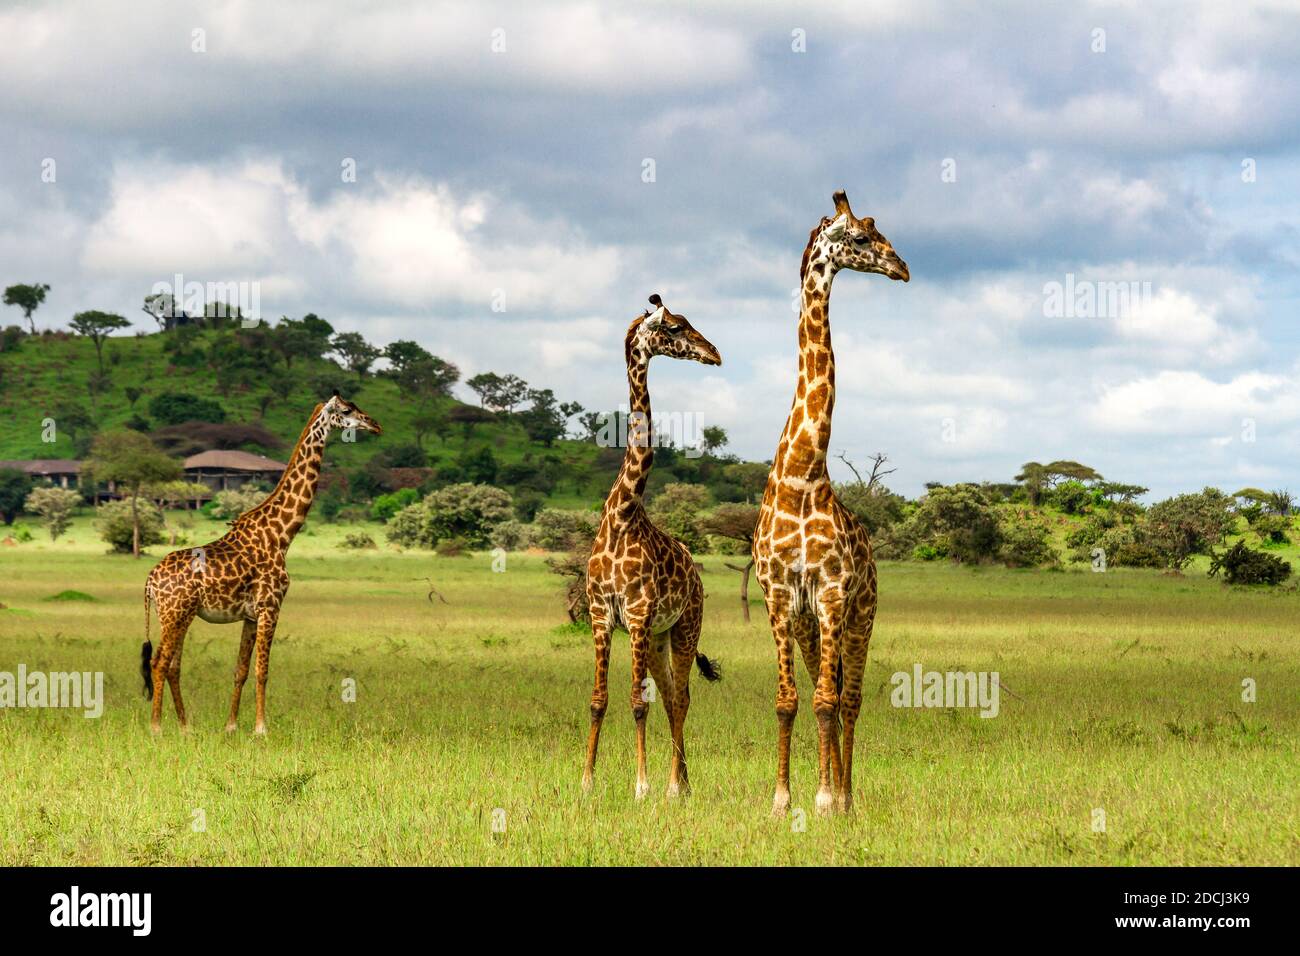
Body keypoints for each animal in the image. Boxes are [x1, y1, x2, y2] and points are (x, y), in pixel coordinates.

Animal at [140, 393, 381, 735]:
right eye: (347, 410)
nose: (375, 425)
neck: (281, 535)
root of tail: (150, 581)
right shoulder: (271, 606)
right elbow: (262, 671)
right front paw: (260, 729)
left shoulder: (250, 615)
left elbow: (240, 669)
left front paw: (230, 726)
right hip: (174, 613)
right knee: (159, 662)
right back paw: (157, 727)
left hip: (179, 615)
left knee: (173, 664)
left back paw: (186, 727)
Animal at [582, 294, 724, 799]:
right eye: (677, 327)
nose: (715, 353)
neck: (622, 514)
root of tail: (697, 576)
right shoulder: (602, 616)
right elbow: (600, 699)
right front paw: (586, 780)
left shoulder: (639, 615)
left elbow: (635, 702)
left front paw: (641, 786)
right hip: (662, 637)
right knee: (670, 697)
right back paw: (681, 781)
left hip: (684, 628)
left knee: (680, 698)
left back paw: (673, 787)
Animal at [752, 190, 909, 816]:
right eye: (862, 238)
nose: (903, 268)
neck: (801, 475)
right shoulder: (779, 596)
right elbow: (787, 701)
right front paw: (781, 800)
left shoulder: (833, 593)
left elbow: (825, 701)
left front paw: (824, 799)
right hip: (810, 627)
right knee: (831, 691)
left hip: (860, 616)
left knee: (849, 699)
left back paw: (846, 795)